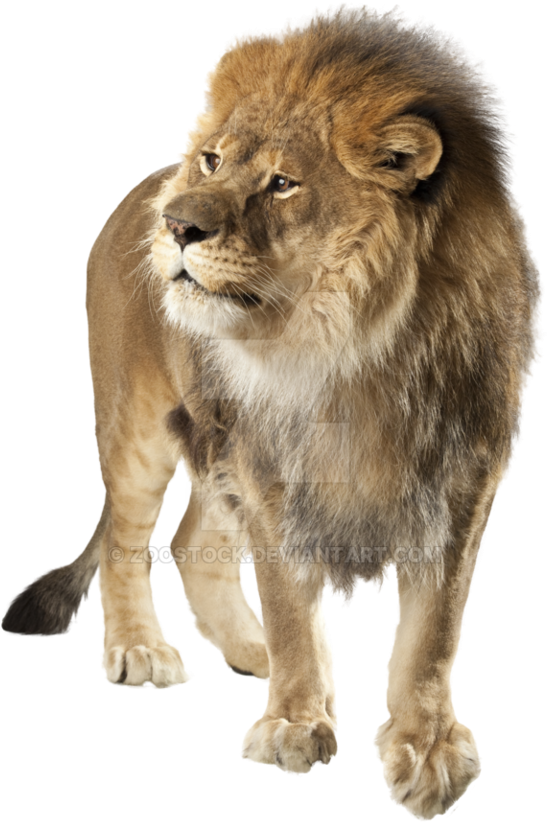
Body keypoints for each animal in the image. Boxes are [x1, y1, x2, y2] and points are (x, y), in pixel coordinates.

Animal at [2, 5, 543, 819]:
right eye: (214, 162)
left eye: (284, 183)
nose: (177, 225)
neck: (349, 357)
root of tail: (144, 187)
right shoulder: (268, 468)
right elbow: (290, 605)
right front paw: (293, 724)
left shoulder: (459, 483)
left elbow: (432, 633)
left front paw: (425, 751)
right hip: (139, 424)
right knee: (129, 540)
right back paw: (144, 650)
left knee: (193, 544)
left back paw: (259, 655)